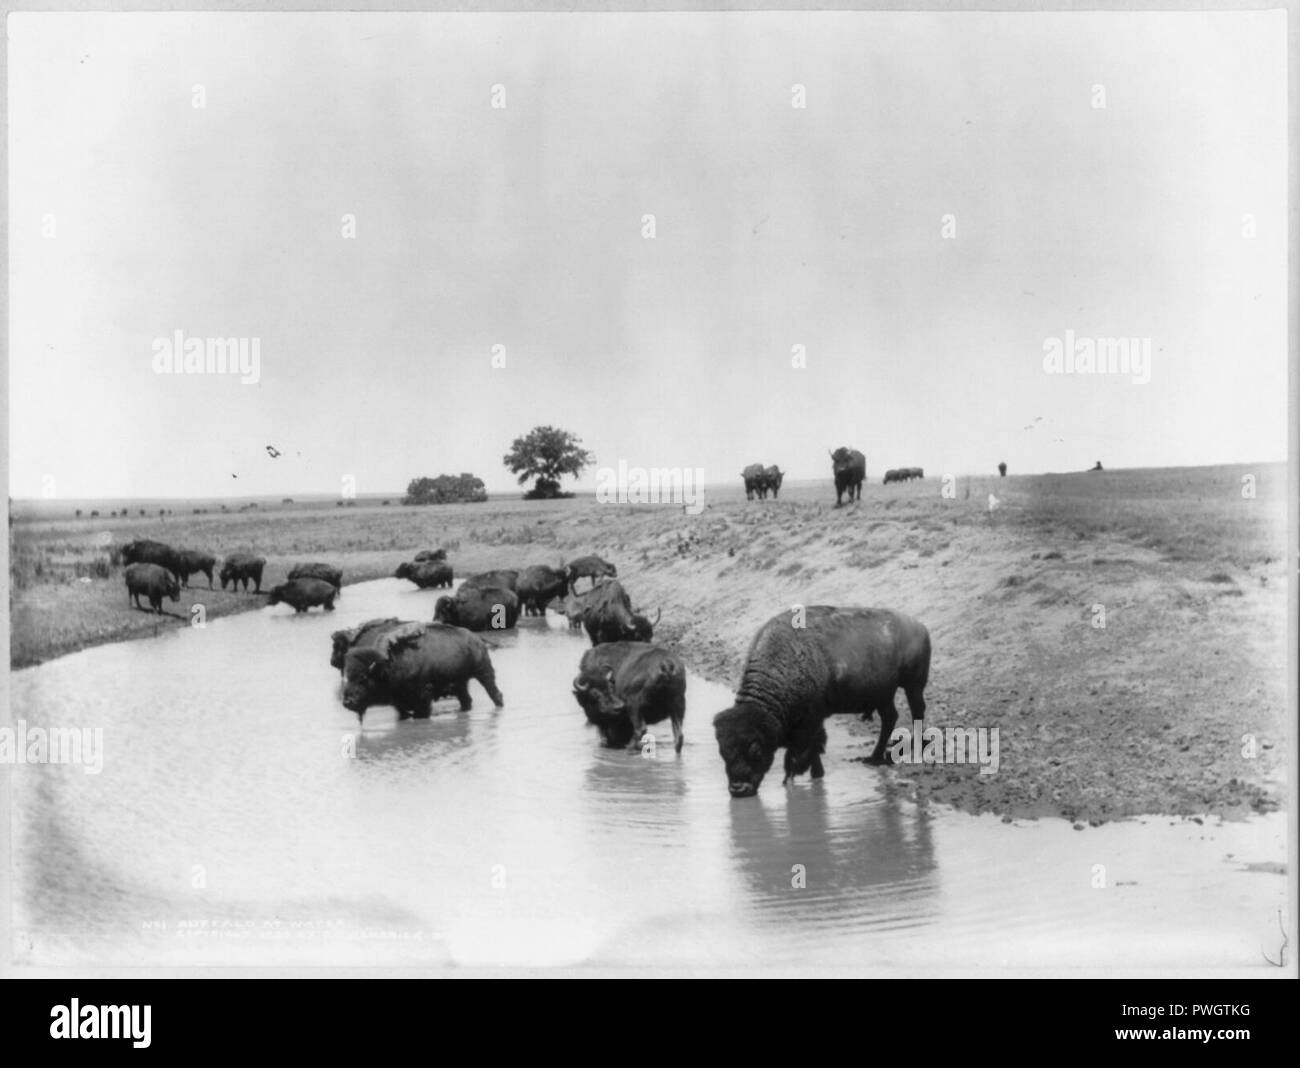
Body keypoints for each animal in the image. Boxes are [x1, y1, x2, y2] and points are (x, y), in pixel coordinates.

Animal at [341, 621, 504, 720]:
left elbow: (421, 713)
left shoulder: (423, 697)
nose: (347, 702)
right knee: (467, 700)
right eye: (349, 677)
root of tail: (477, 638)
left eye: (363, 678)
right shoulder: (399, 703)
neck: (388, 665)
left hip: (484, 673)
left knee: (495, 693)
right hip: (460, 684)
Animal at [713, 606, 931, 797]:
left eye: (755, 750)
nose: (738, 789)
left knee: (916, 711)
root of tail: (920, 627)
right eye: (723, 752)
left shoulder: (809, 723)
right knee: (890, 717)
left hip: (912, 686)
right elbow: (813, 750)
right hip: (884, 696)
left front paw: (789, 782)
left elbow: (797, 757)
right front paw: (816, 774)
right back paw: (874, 757)